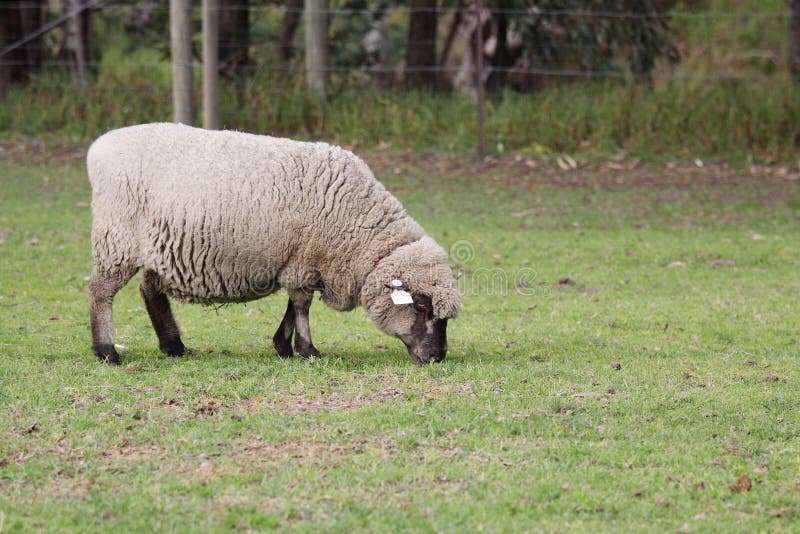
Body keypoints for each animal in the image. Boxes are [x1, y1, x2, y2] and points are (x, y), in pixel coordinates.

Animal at [87, 123, 461, 365]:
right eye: (421, 307)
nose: (438, 357)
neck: (364, 238)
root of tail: (98, 147)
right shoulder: (305, 258)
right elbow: (301, 305)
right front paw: (307, 351)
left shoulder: (300, 260)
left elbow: (293, 305)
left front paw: (283, 346)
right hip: (115, 238)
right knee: (100, 291)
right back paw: (107, 351)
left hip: (154, 247)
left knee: (150, 290)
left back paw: (173, 345)